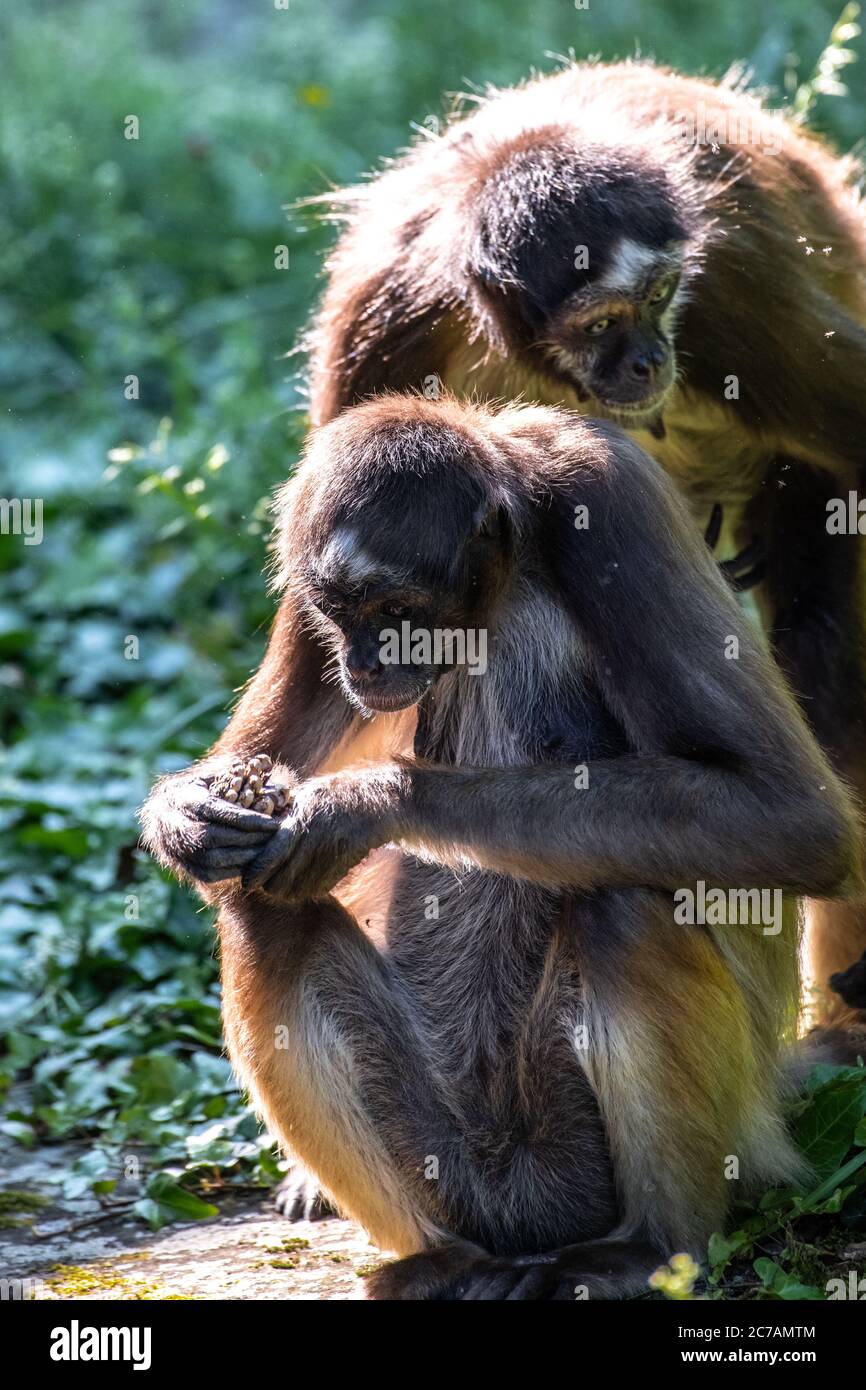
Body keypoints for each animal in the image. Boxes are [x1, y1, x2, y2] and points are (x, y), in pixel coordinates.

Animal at [141, 395, 860, 1299]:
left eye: (396, 613)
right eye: (338, 615)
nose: (361, 663)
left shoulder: (605, 494)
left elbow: (793, 818)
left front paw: (357, 807)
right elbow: (241, 820)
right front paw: (190, 816)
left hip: (619, 1147)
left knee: (626, 904)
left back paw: (650, 1250)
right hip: (446, 1162)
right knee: (263, 908)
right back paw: (446, 1257)